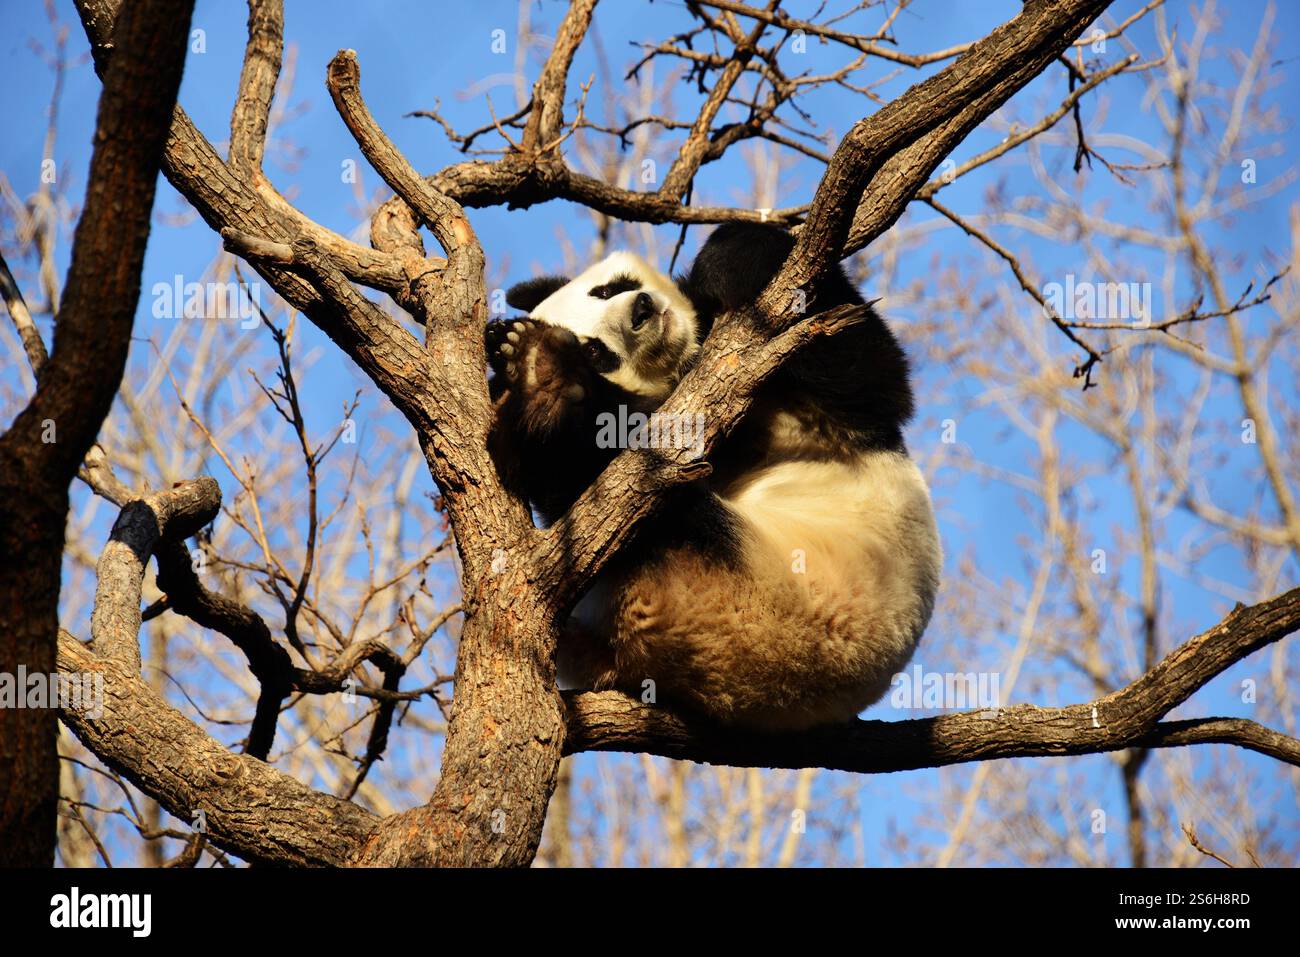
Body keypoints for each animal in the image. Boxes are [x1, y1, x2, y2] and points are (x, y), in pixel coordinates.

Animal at [485, 222, 941, 730]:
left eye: (605, 290)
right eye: (596, 350)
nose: (641, 311)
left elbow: (864, 361)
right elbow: (869, 372)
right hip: (755, 589)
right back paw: (545, 379)